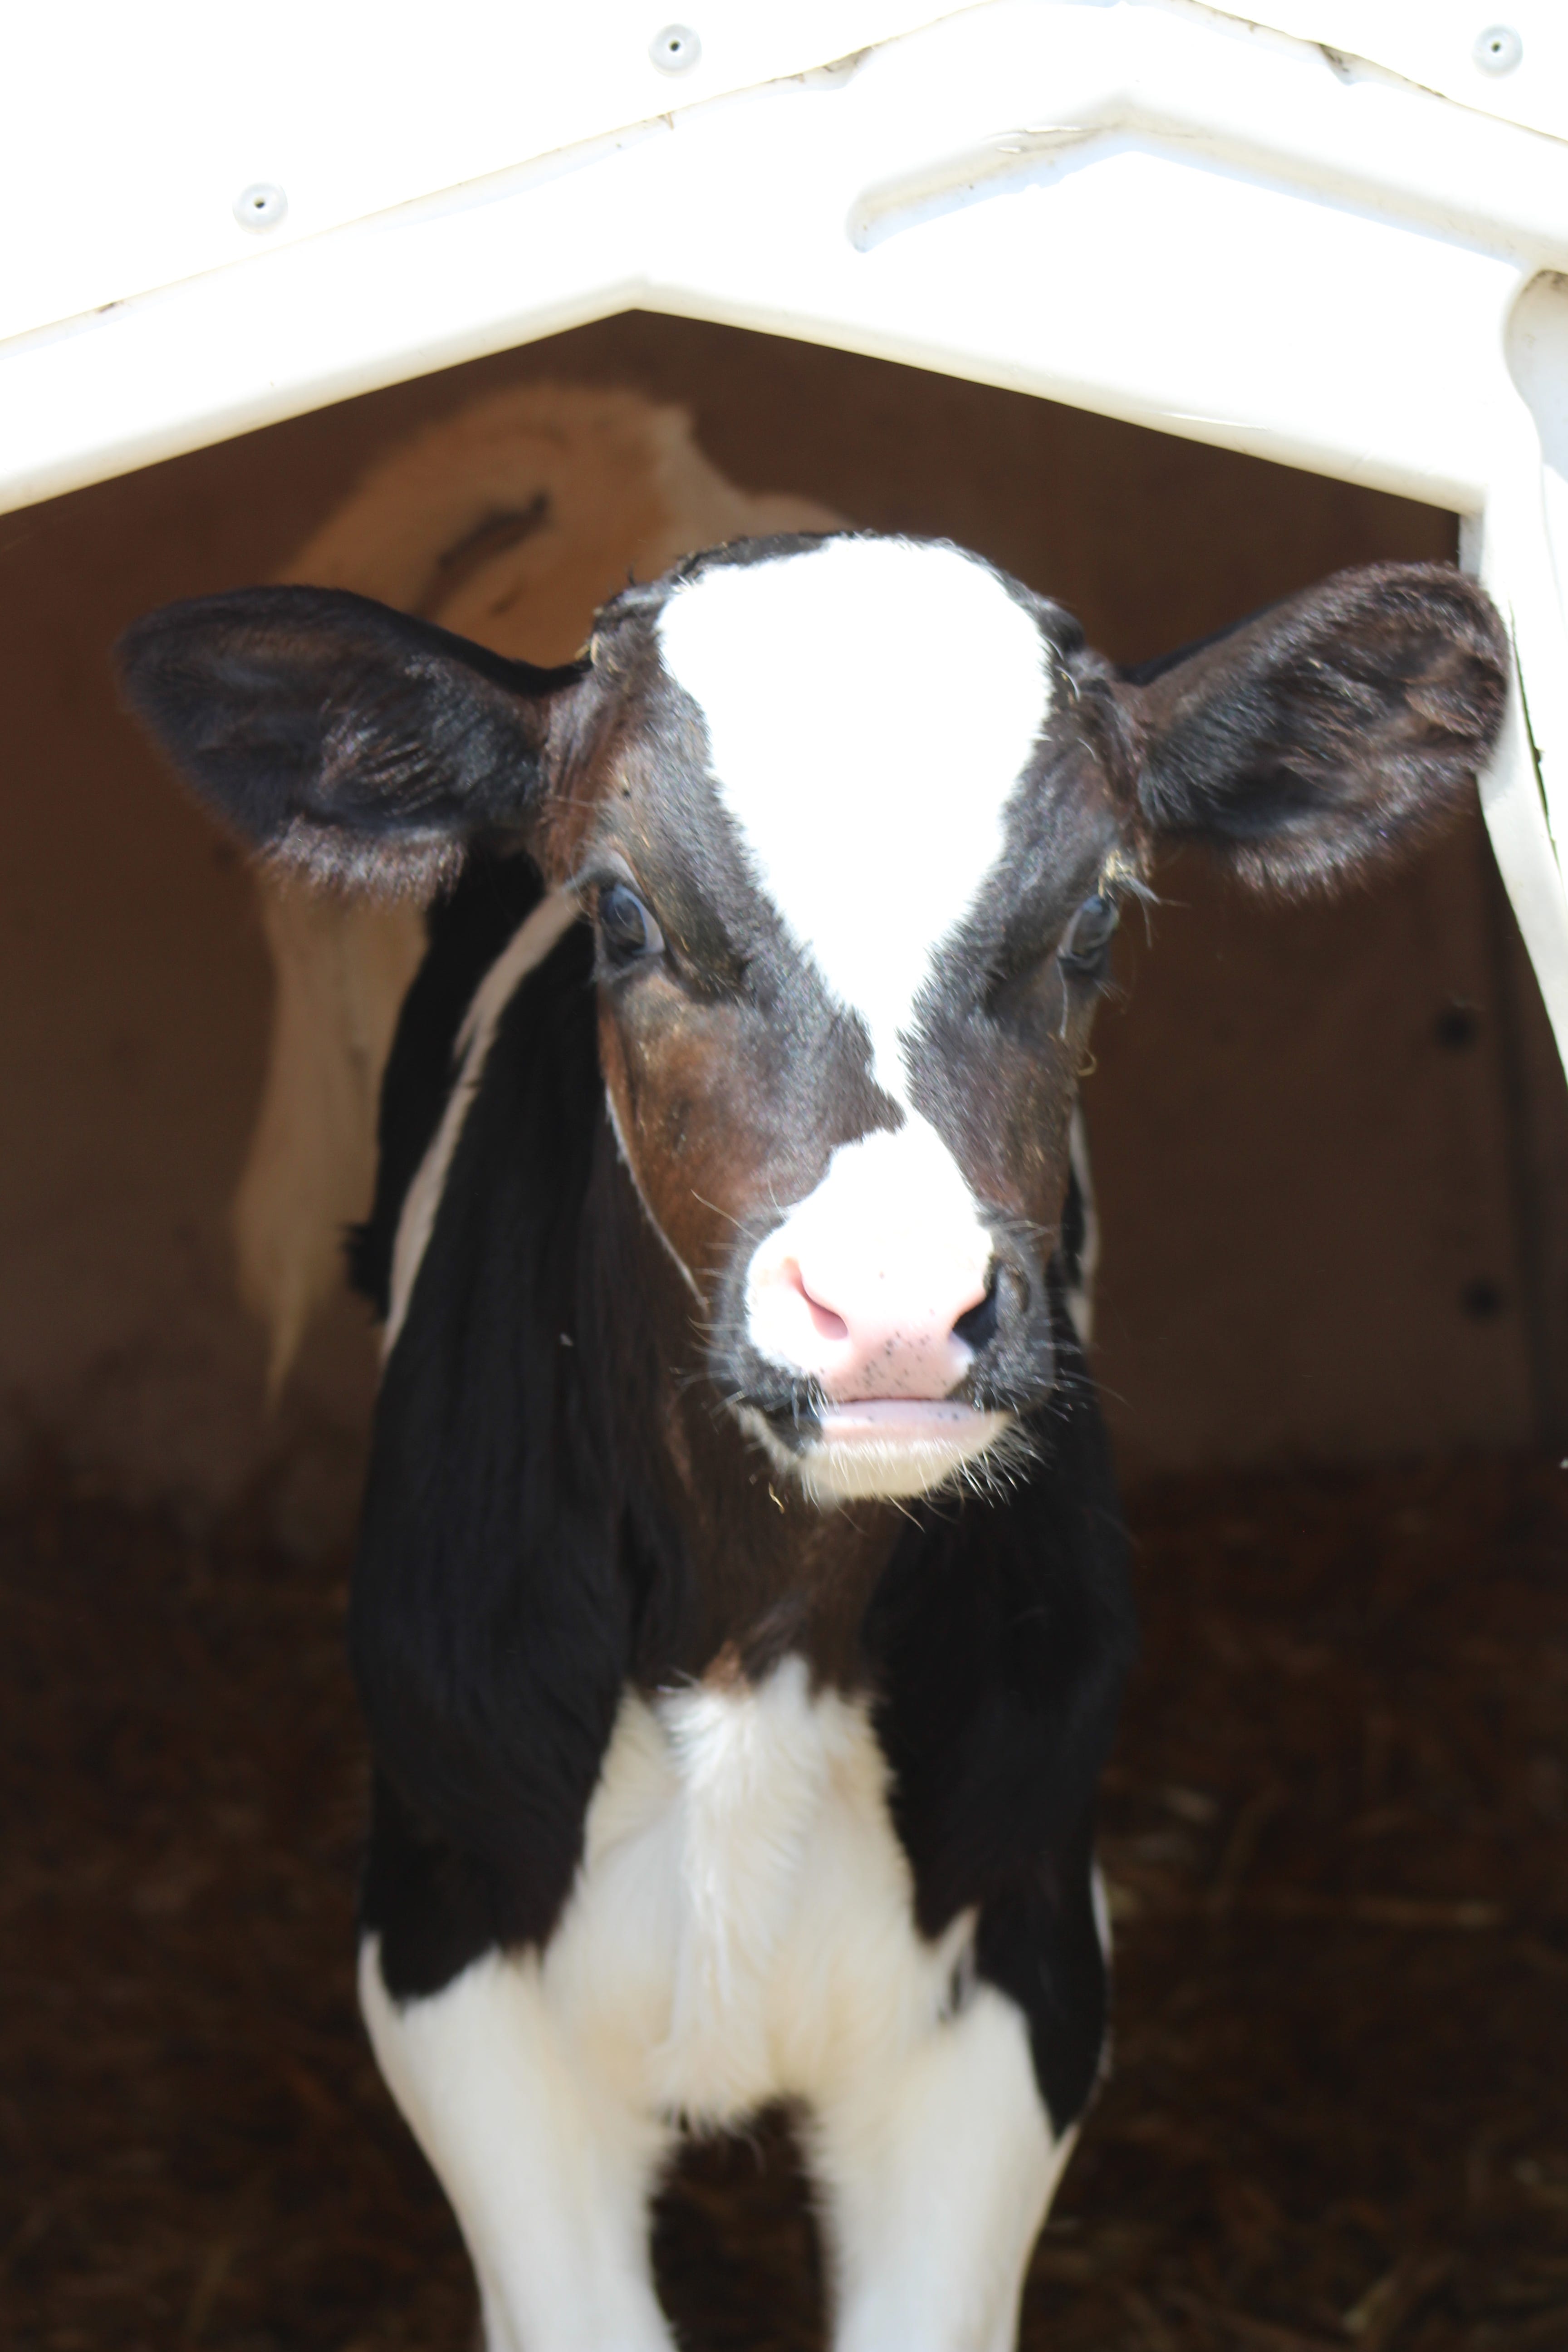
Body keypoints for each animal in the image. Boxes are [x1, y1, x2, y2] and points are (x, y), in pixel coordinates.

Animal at [121, 534, 1506, 2352]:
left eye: (1096, 915)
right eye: (620, 911)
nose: (895, 1312)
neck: (757, 1631)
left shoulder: (1024, 1956)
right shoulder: (446, 1944)